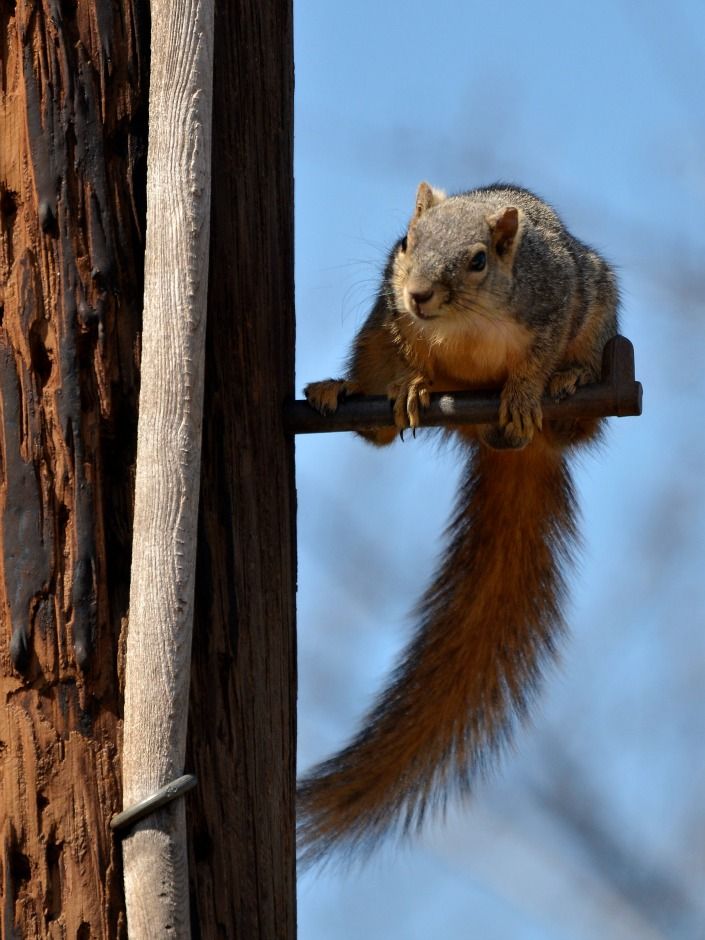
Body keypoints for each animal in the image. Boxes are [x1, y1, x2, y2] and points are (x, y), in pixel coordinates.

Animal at [299, 181, 619, 865]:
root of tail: (495, 442)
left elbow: (535, 361)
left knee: (579, 412)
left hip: (600, 321)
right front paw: (411, 386)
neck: (461, 327)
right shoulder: (391, 323)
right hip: (371, 338)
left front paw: (526, 389)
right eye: (406, 241)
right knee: (374, 419)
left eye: (478, 260)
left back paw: (569, 382)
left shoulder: (553, 305)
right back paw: (338, 392)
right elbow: (402, 364)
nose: (419, 294)